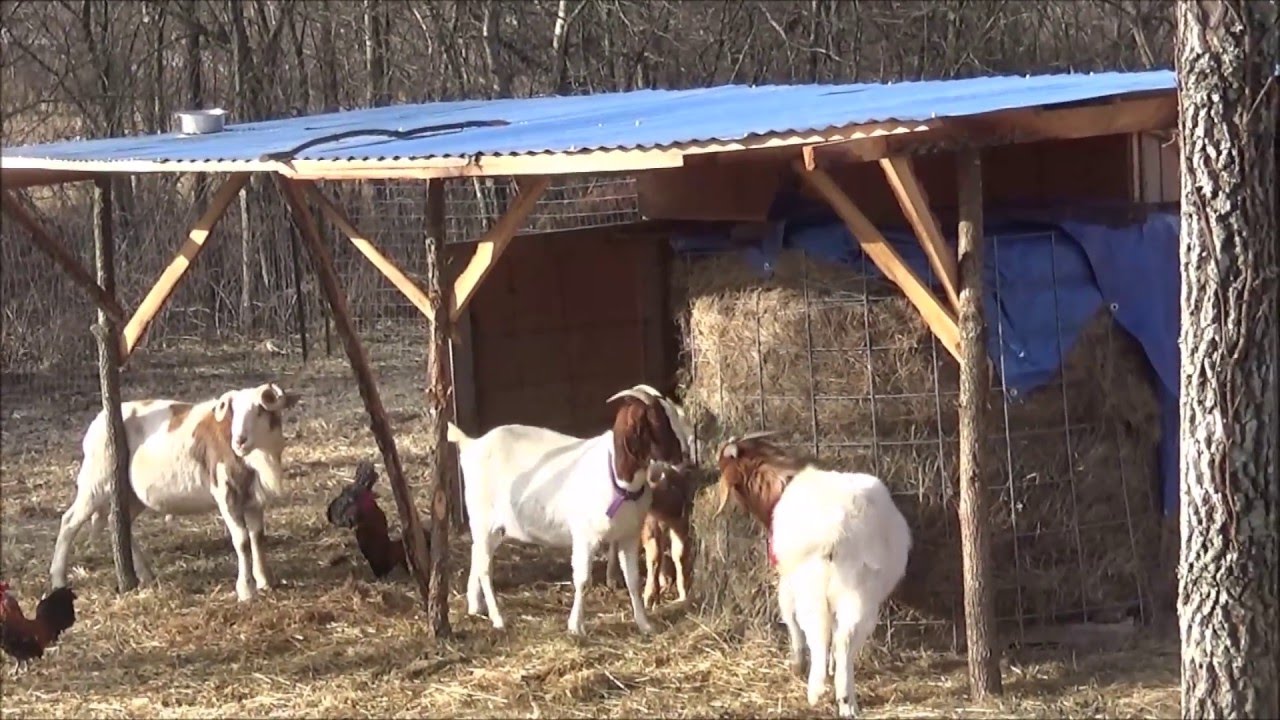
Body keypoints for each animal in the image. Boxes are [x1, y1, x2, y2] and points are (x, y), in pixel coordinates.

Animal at [49, 383, 301, 602]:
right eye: (234, 412)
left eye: (259, 410)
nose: (239, 441)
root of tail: (98, 422)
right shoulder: (226, 494)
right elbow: (242, 540)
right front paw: (246, 590)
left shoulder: (253, 499)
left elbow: (257, 537)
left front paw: (265, 581)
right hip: (96, 481)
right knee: (69, 521)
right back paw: (58, 579)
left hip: (131, 492)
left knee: (116, 520)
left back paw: (145, 573)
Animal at [604, 460, 697, 608]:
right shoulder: (650, 528)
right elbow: (655, 557)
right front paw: (651, 598)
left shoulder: (680, 524)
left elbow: (678, 554)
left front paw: (681, 594)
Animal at [713, 432, 911, 718]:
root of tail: (839, 528)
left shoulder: (786, 576)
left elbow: (788, 615)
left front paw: (796, 664)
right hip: (859, 593)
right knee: (844, 637)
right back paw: (846, 700)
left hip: (812, 585)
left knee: (818, 632)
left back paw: (815, 689)